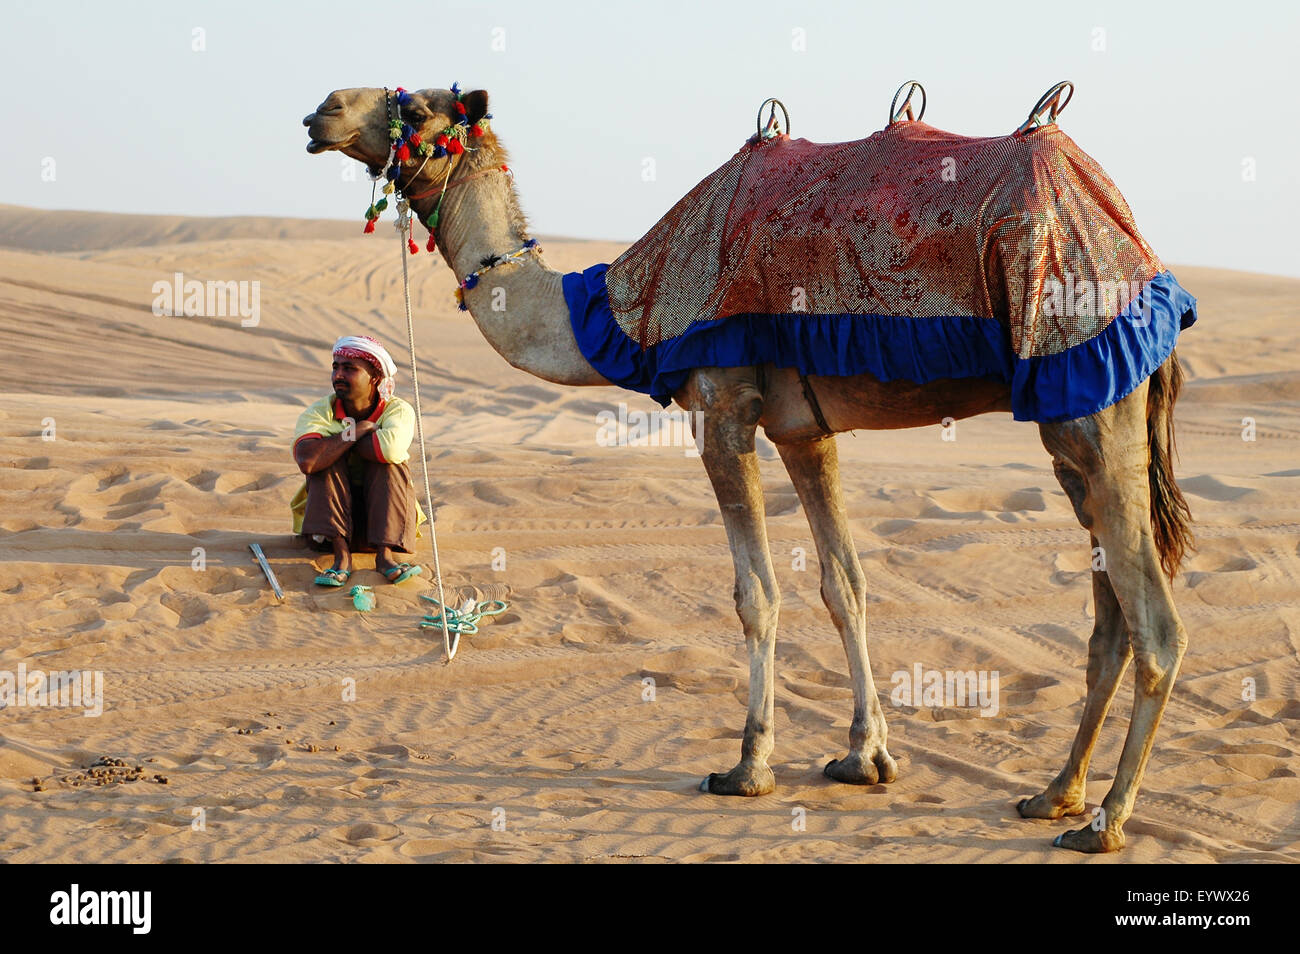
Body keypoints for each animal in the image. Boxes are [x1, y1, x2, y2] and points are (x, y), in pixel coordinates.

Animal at [302, 86, 1194, 853]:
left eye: (419, 108)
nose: (322, 111)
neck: (619, 313)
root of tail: (1141, 256)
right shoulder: (805, 431)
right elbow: (845, 584)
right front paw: (865, 757)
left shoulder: (721, 407)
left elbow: (756, 593)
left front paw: (748, 766)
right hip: (1074, 417)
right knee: (1110, 617)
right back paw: (1056, 793)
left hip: (1086, 383)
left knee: (1157, 624)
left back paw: (1106, 821)